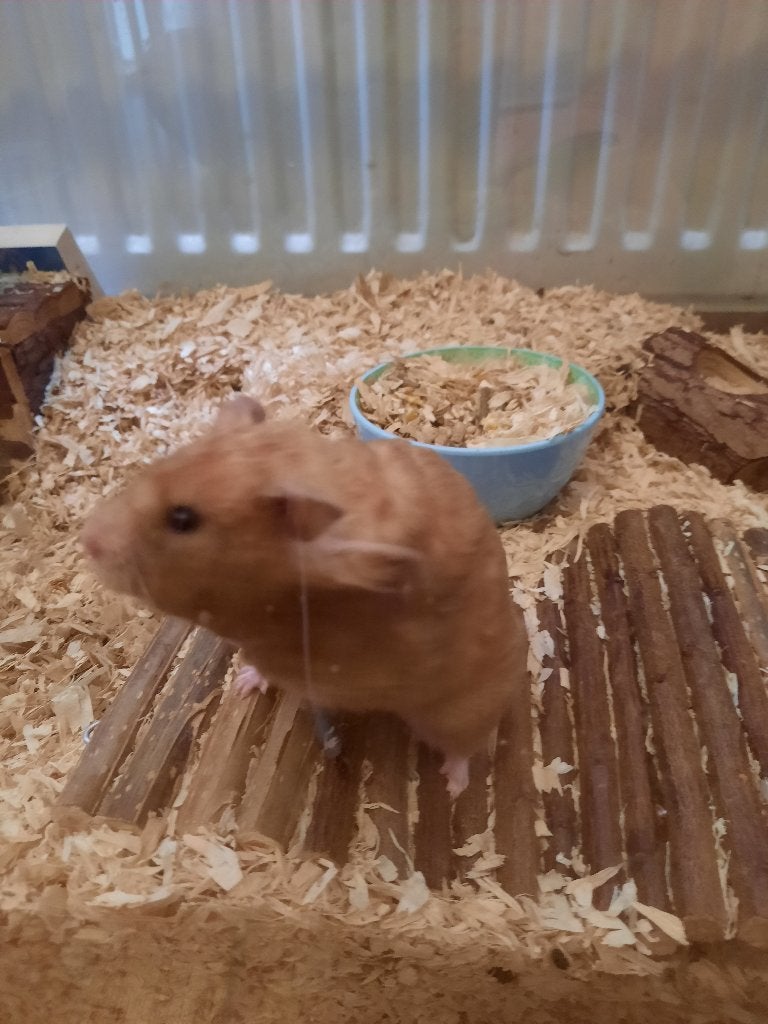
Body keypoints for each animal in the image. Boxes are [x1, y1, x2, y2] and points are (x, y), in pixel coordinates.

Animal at [81, 395, 518, 797]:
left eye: (183, 519)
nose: (89, 541)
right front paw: (243, 683)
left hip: (460, 708)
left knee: (464, 746)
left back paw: (454, 785)